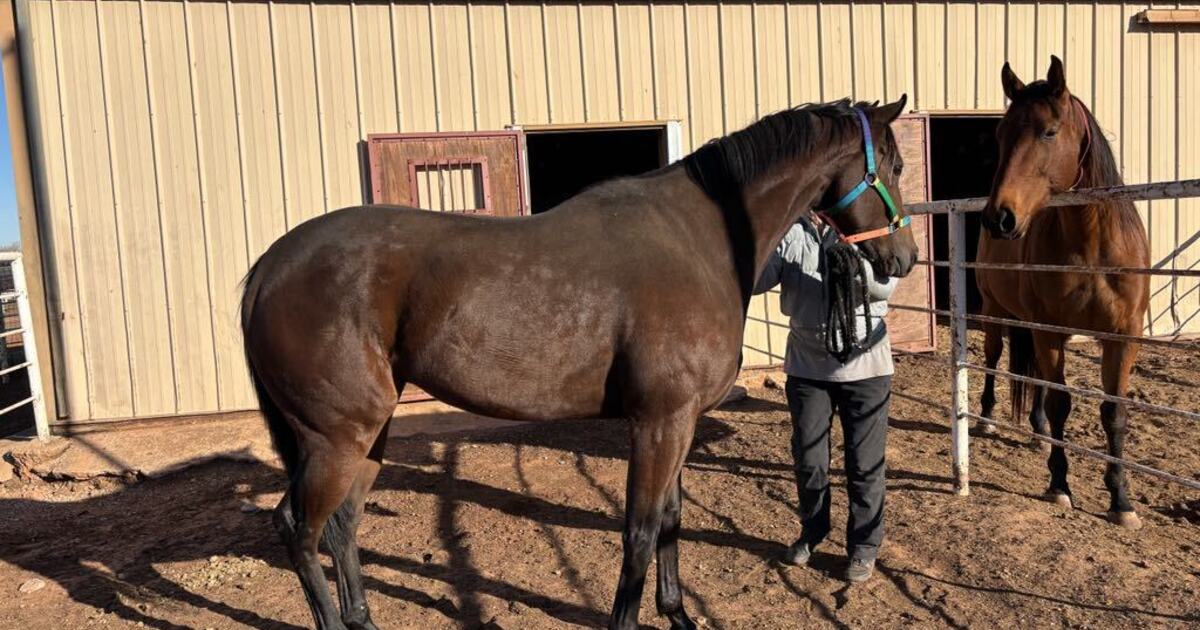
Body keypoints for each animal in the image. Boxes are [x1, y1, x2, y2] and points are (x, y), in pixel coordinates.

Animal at [240, 98, 918, 630]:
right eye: (894, 164)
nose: (905, 257)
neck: (700, 240)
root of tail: (270, 268)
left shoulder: (682, 423)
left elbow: (669, 521)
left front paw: (677, 613)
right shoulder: (658, 423)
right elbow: (640, 530)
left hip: (365, 436)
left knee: (341, 527)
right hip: (336, 438)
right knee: (297, 528)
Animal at [976, 56, 1150, 530]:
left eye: (1049, 132)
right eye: (999, 134)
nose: (999, 218)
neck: (1092, 247)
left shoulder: (1122, 337)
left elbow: (1114, 413)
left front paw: (1121, 500)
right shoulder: (1049, 330)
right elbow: (1060, 402)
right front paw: (1059, 484)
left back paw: (1036, 433)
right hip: (996, 313)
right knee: (994, 360)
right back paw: (985, 420)